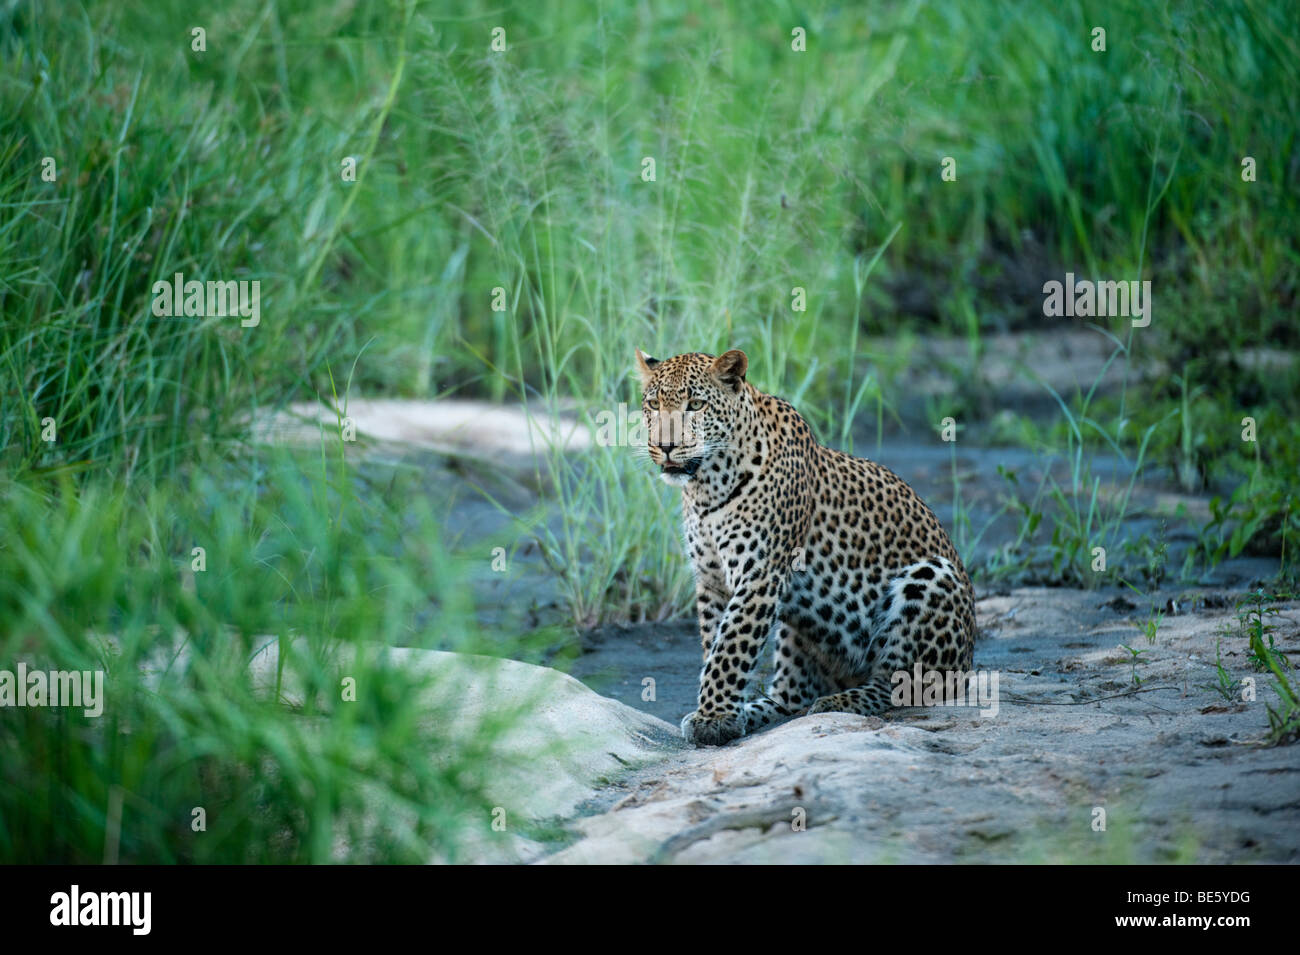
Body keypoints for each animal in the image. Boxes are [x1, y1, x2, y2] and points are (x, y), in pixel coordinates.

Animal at [636, 347, 976, 746]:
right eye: (654, 404)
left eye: (696, 405)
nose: (666, 447)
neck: (706, 486)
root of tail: (969, 660)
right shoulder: (711, 578)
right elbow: (714, 642)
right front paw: (720, 711)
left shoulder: (759, 574)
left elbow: (732, 645)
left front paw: (714, 717)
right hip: (795, 628)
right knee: (792, 695)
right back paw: (760, 709)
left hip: (931, 577)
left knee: (901, 684)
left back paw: (839, 703)